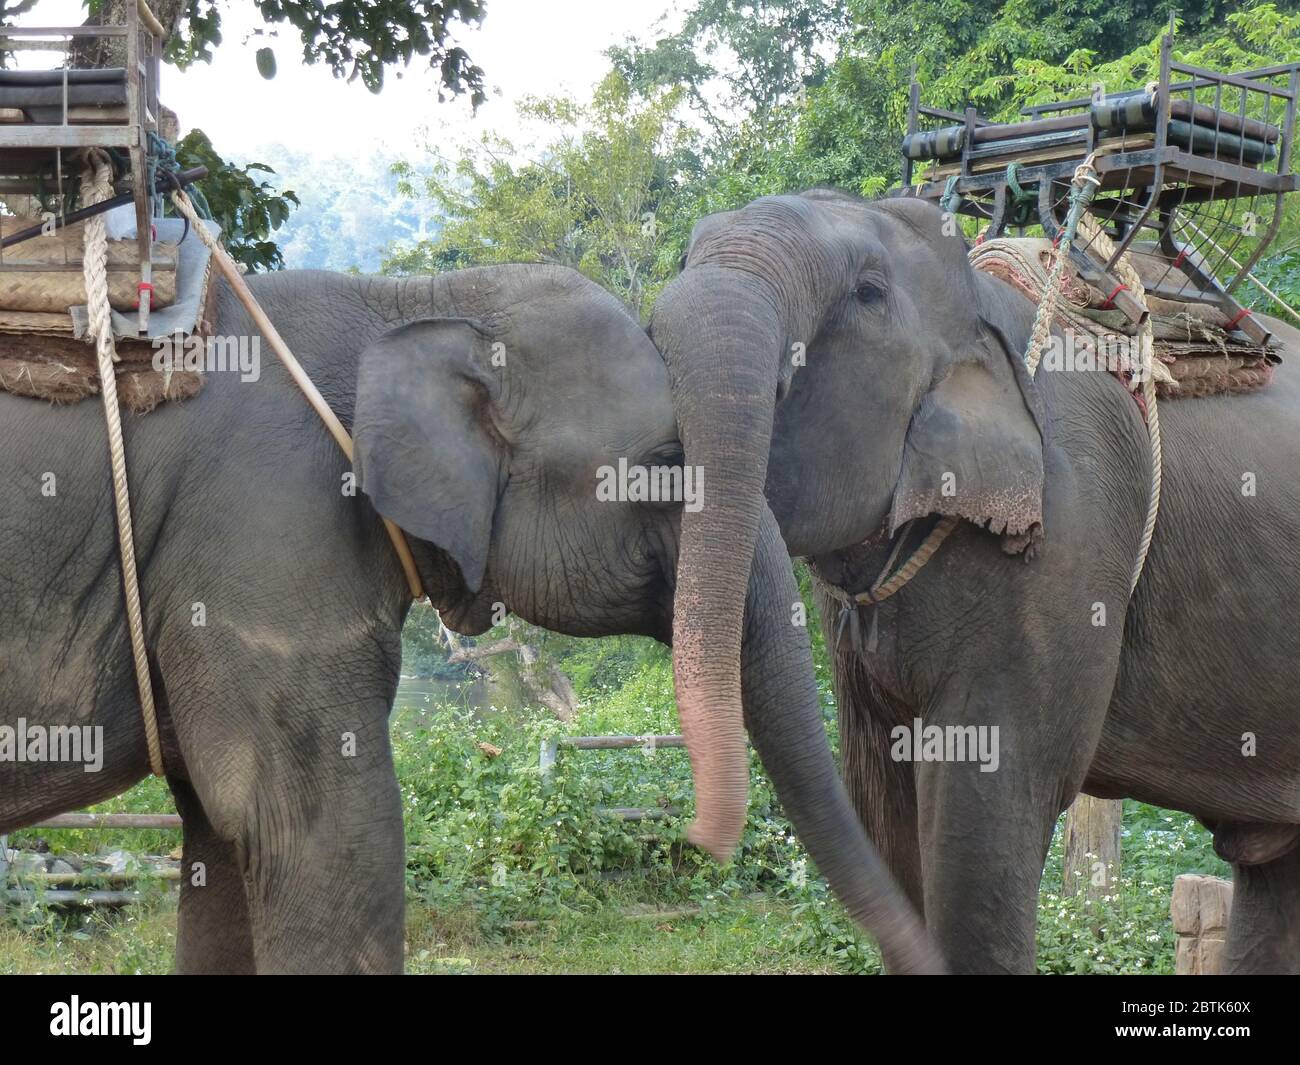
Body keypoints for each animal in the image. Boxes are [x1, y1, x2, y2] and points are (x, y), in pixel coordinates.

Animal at [0, 262, 940, 973]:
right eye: (668, 460)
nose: (703, 838)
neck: (407, 301)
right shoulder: (261, 540)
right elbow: (311, 827)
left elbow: (221, 840)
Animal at [648, 189, 1300, 974]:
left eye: (868, 293)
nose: (699, 838)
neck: (973, 301)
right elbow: (884, 805)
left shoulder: (1066, 541)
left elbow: (980, 822)